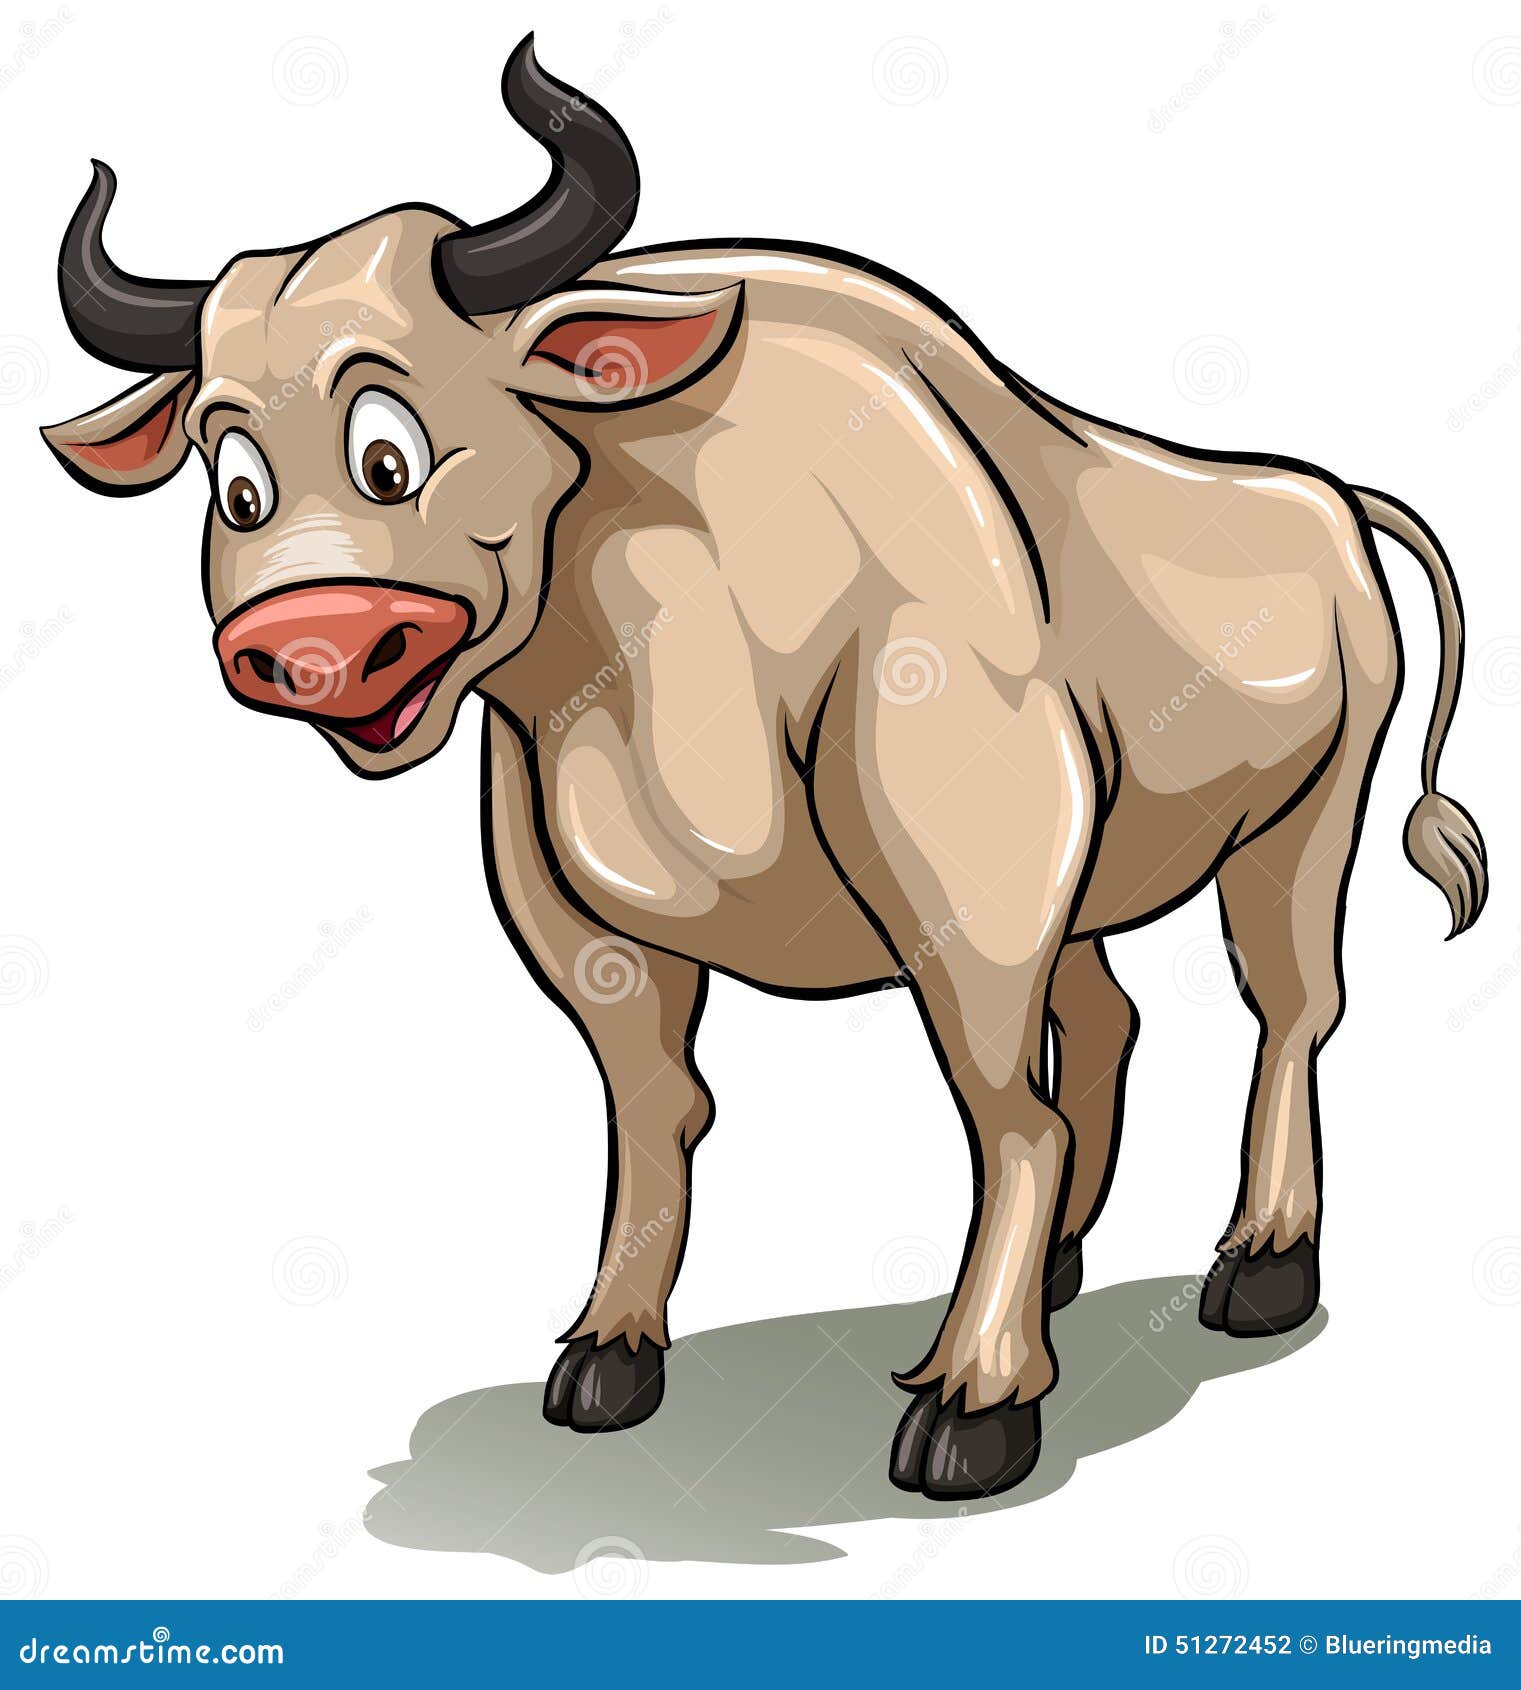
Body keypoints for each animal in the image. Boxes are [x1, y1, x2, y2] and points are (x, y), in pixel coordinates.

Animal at [42, 36, 1487, 1500]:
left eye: (389, 447)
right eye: (233, 482)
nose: (309, 643)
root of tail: (1325, 498)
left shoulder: (976, 896)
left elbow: (999, 1114)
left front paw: (973, 1404)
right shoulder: (590, 926)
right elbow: (655, 1113)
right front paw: (607, 1355)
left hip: (1300, 831)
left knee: (1288, 1011)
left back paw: (1260, 1268)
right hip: (1109, 891)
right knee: (1113, 1021)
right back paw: (1069, 1268)